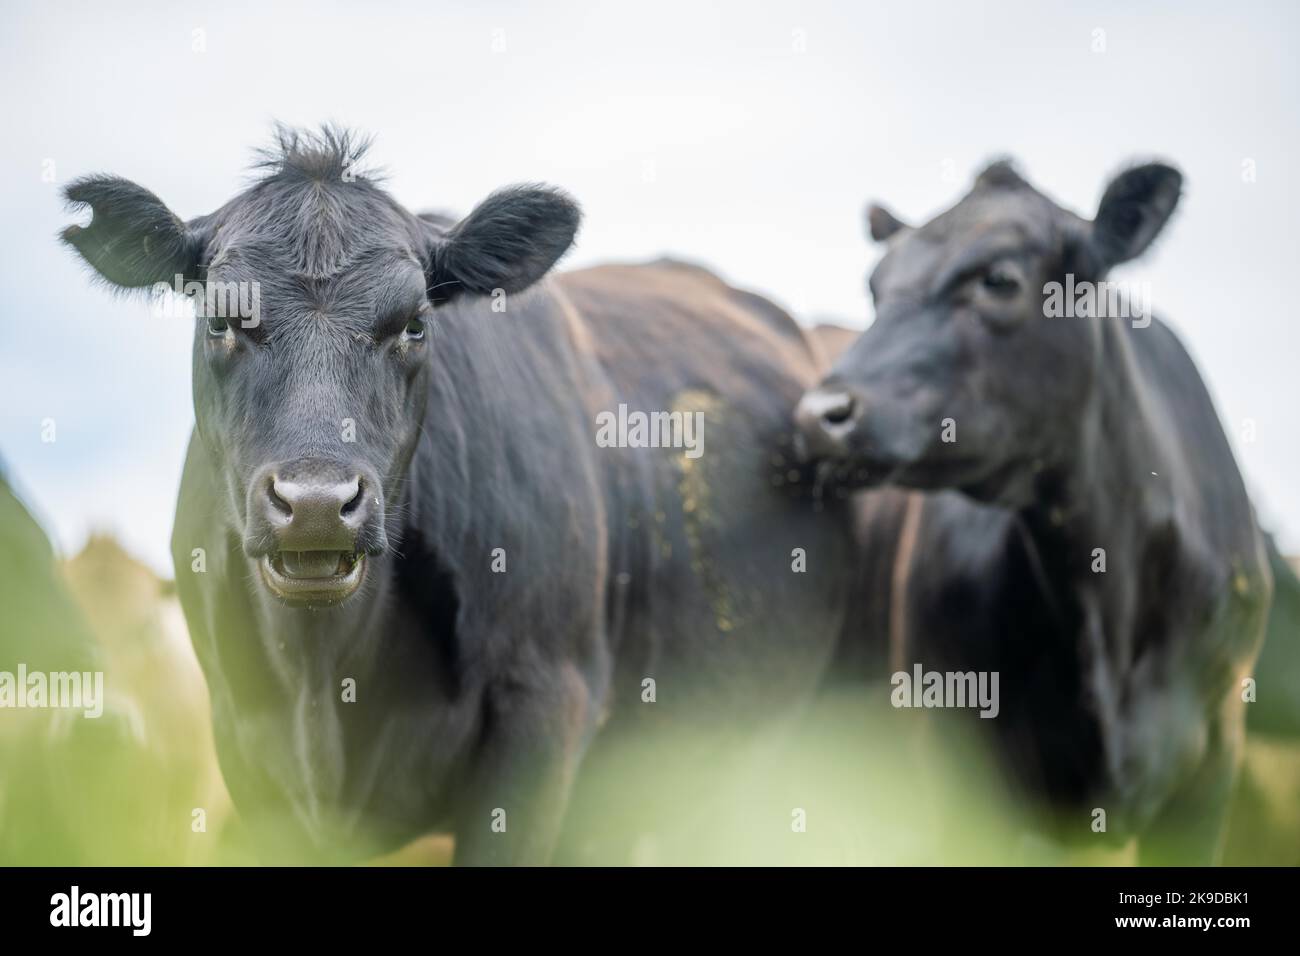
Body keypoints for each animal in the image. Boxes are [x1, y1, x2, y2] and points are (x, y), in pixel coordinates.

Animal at [61, 126, 853, 865]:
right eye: (222, 319)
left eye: (415, 324)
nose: (316, 502)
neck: (322, 676)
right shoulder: (243, 754)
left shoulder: (544, 714)